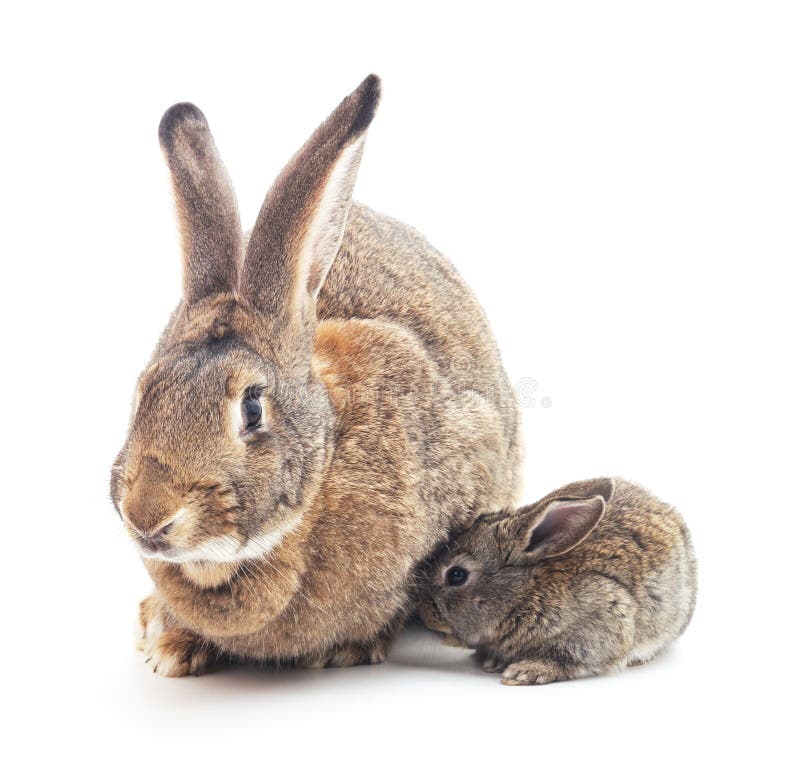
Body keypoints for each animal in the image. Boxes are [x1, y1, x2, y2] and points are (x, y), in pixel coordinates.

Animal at [429, 478, 697, 685]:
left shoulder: (602, 620)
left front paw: (526, 672)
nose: (424, 613)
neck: (525, 591)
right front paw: (493, 661)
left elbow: (569, 658)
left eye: (456, 575)